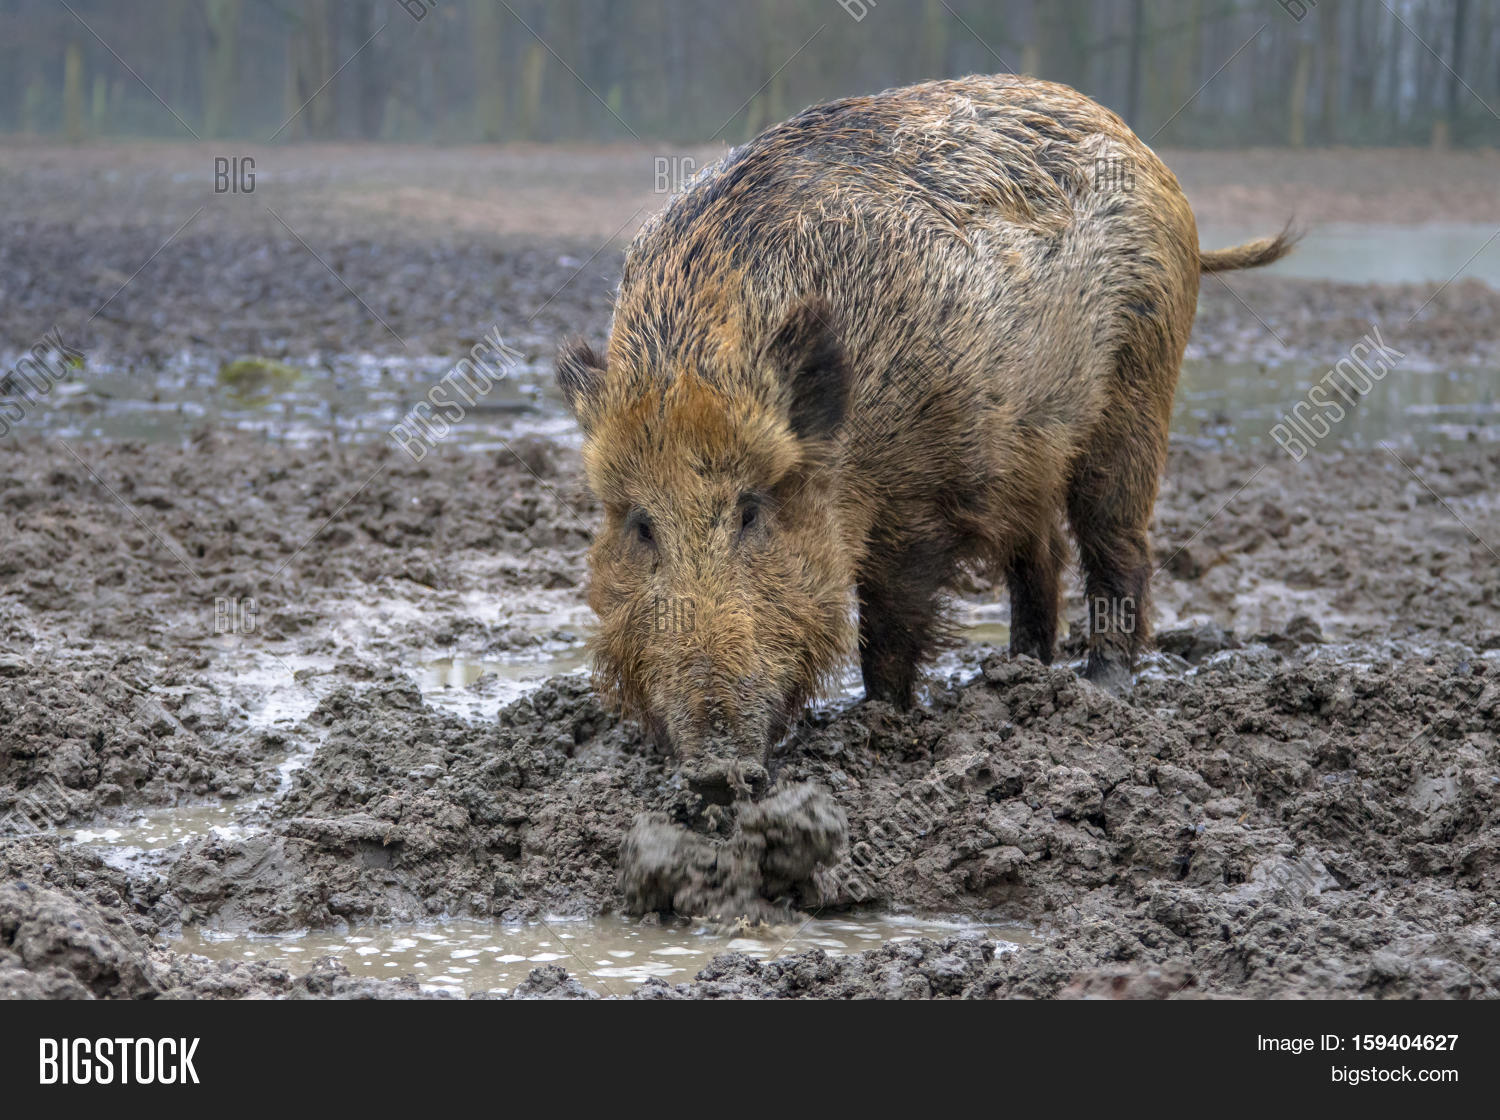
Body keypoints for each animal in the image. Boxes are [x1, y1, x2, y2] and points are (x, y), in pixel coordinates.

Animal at [557, 75, 1292, 792]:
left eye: (751, 511)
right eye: (642, 525)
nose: (717, 774)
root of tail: (1147, 155)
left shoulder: (919, 501)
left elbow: (890, 623)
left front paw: (882, 718)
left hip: (1139, 388)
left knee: (1117, 542)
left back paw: (1102, 687)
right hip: (1030, 453)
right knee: (1043, 553)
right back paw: (1022, 671)